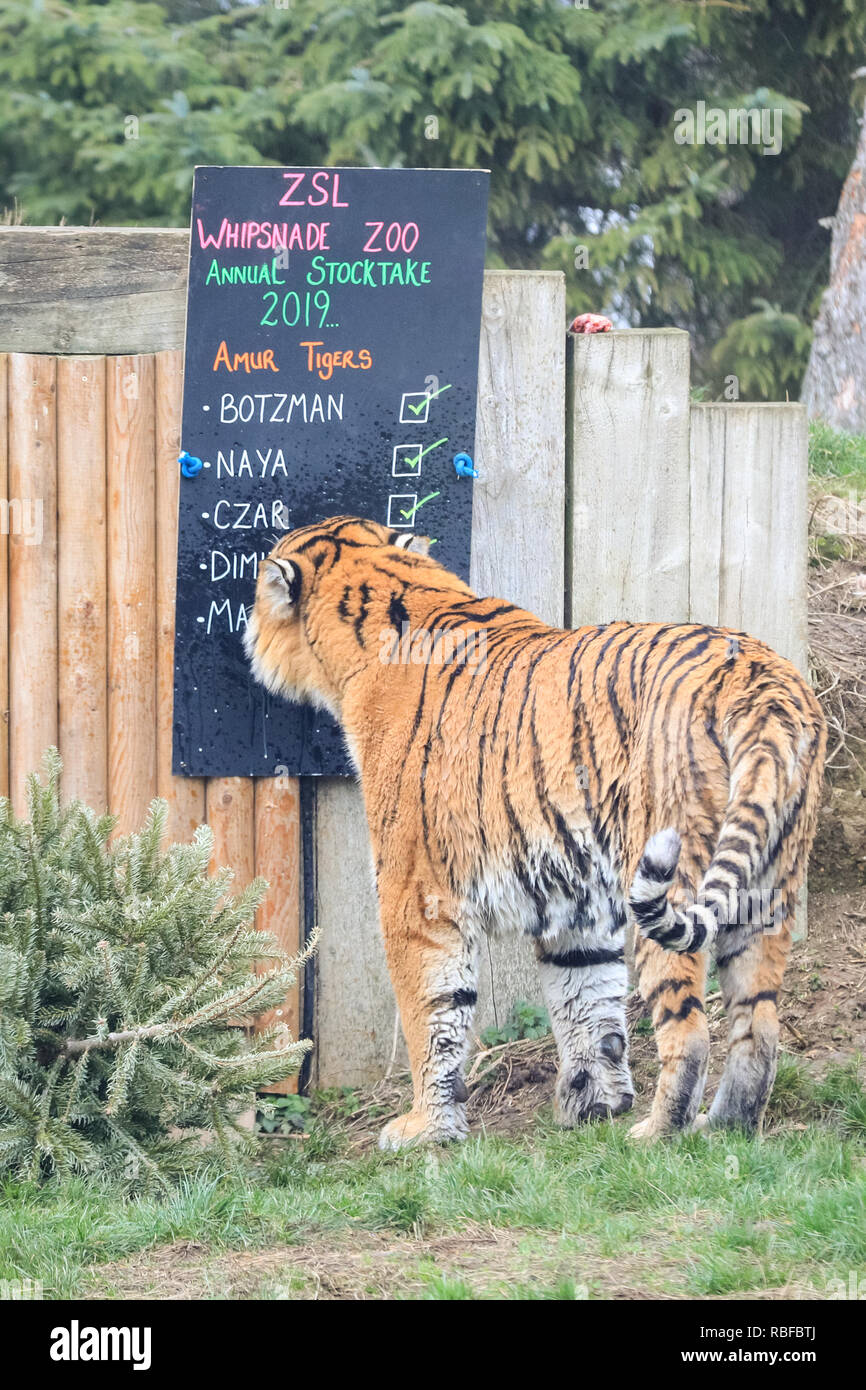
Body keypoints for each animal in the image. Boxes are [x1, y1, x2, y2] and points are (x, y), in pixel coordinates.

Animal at [245, 515, 826, 1150]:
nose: (248, 631)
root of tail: (761, 678)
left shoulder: (415, 898)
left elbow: (432, 1013)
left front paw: (424, 1127)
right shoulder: (579, 903)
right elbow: (587, 1002)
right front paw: (592, 1105)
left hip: (671, 878)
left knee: (689, 1027)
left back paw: (657, 1133)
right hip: (767, 886)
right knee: (758, 1023)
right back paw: (724, 1127)